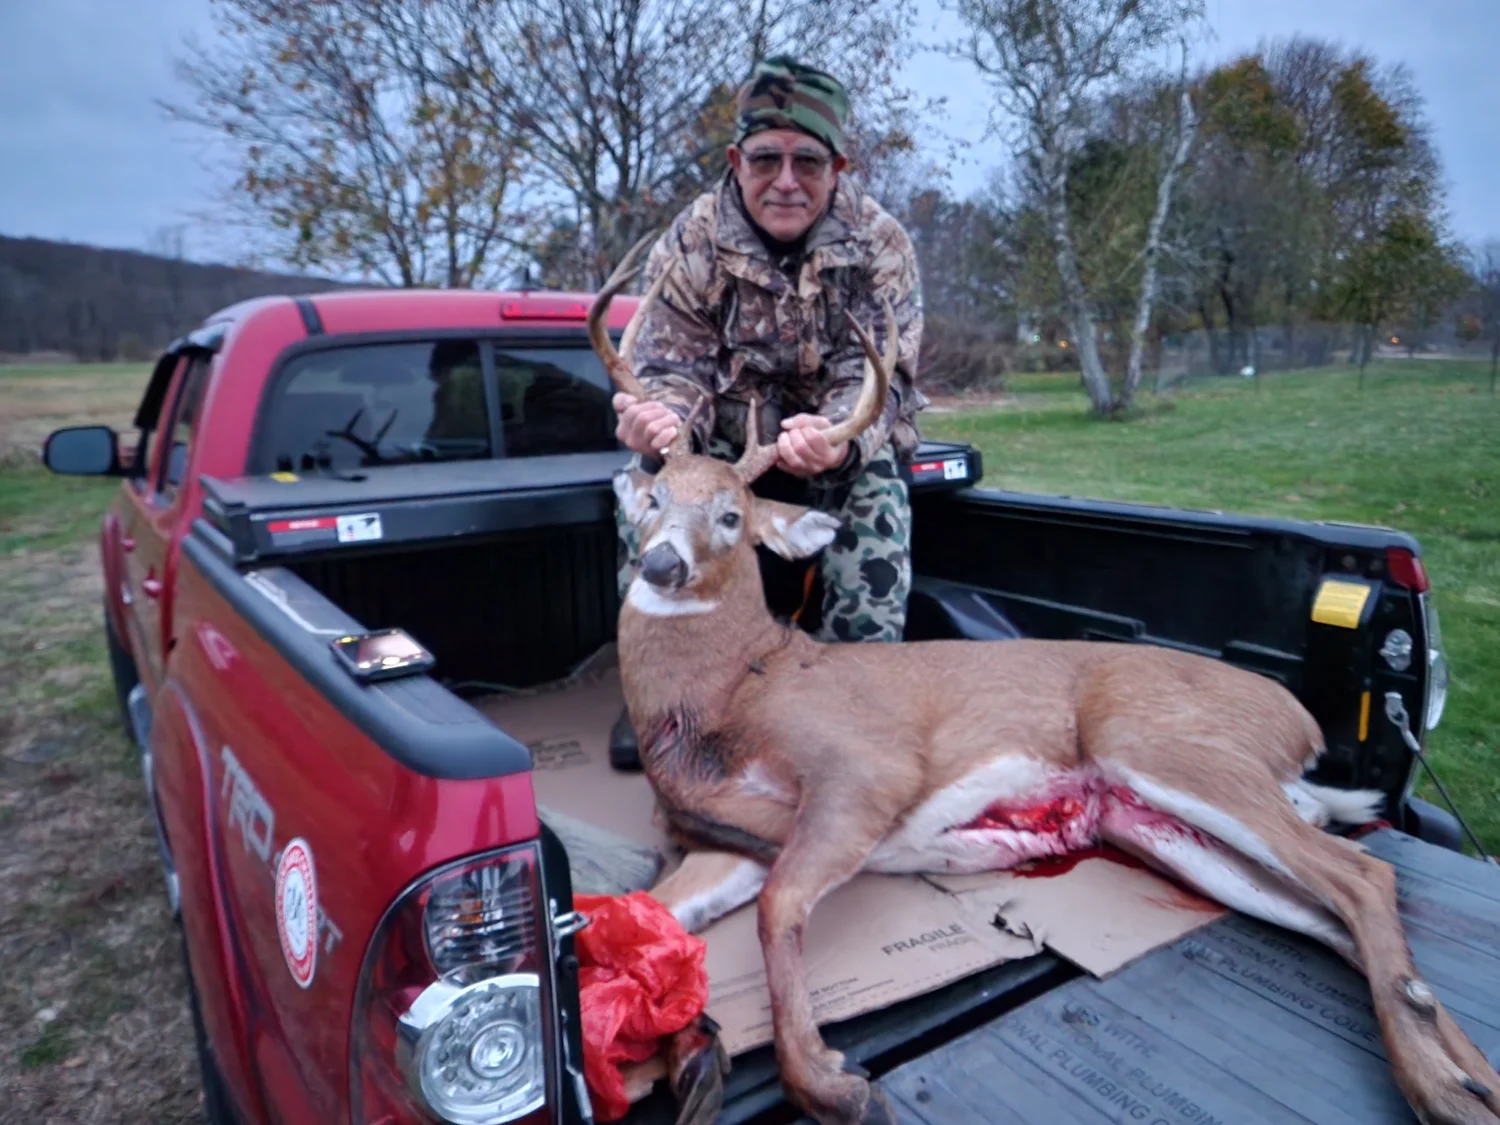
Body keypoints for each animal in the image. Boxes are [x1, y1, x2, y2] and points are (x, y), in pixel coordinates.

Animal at [585, 231, 1500, 1125]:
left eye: (731, 516)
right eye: (656, 498)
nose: (662, 565)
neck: (738, 689)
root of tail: (1301, 722)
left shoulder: (864, 767)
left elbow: (778, 908)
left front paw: (828, 1080)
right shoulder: (729, 837)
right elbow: (645, 921)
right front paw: (690, 1051)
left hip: (1163, 746)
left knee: (1364, 874)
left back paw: (1438, 1087)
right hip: (1156, 825)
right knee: (1336, 910)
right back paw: (1470, 1080)